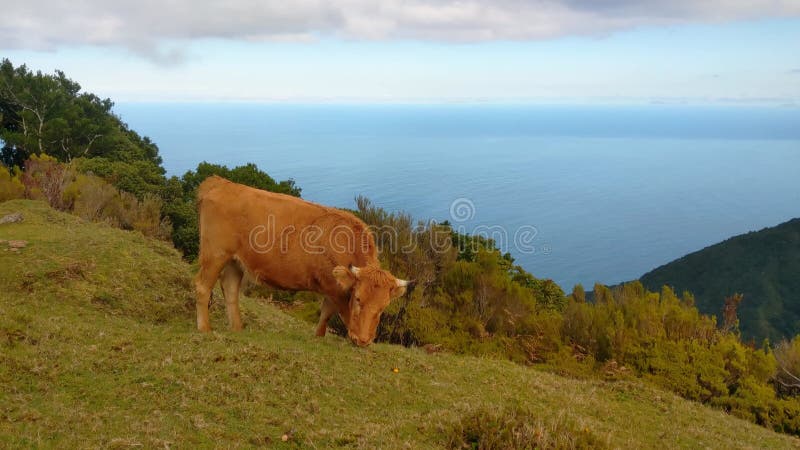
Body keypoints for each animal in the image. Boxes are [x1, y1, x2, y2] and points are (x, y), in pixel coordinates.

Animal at [194, 175, 413, 347]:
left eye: (383, 307)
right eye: (358, 298)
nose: (364, 340)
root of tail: (221, 183)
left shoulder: (332, 288)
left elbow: (325, 314)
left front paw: (318, 337)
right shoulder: (334, 289)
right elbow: (339, 313)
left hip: (234, 261)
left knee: (230, 289)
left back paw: (237, 328)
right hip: (215, 254)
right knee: (203, 286)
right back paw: (204, 328)